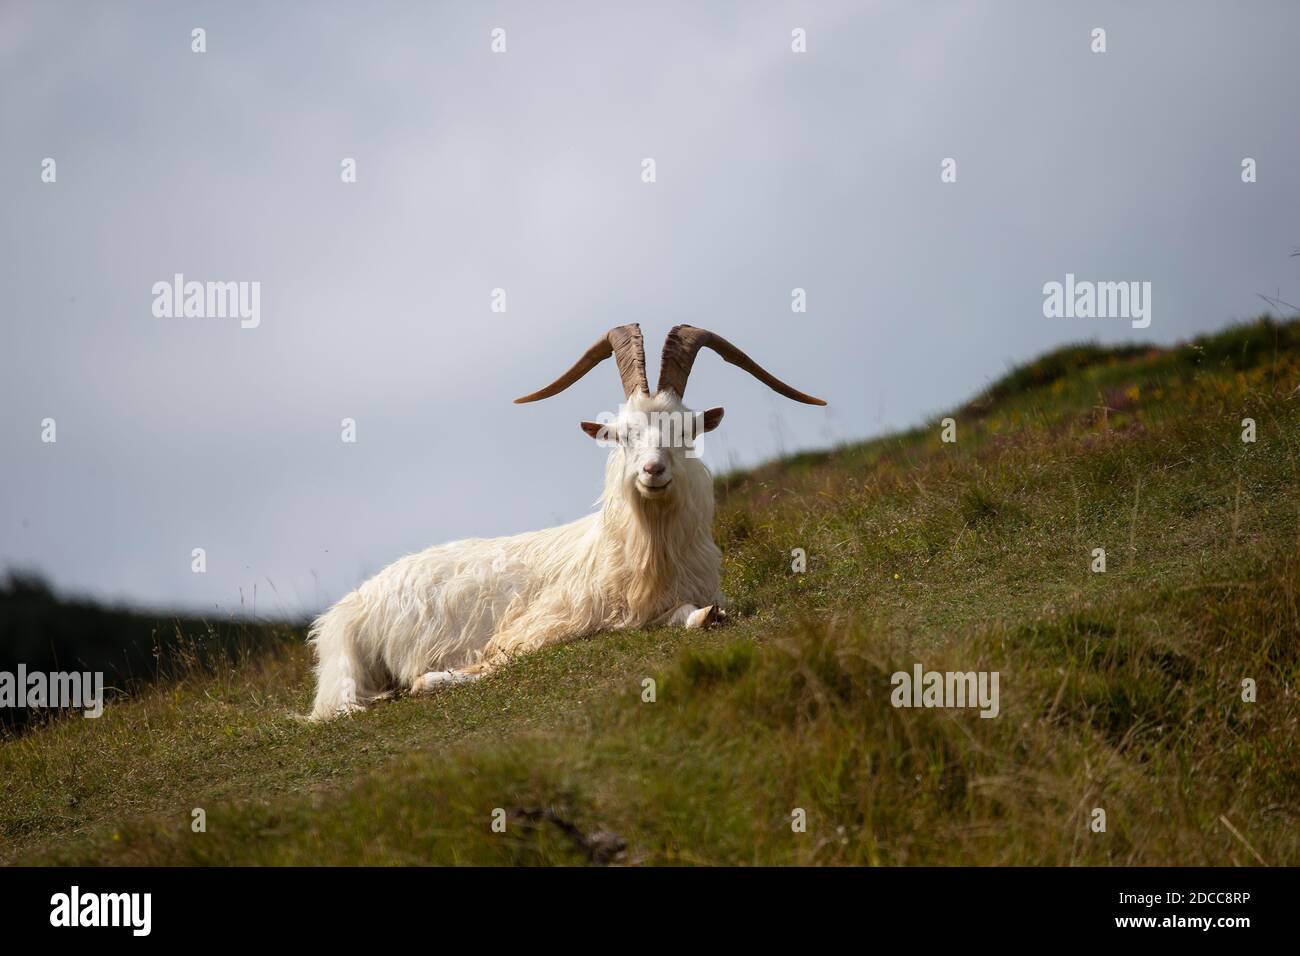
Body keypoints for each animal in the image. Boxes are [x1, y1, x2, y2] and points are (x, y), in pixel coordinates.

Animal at [308, 324, 825, 719]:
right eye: (622, 435)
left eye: (685, 431)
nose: (652, 471)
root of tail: (351, 606)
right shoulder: (547, 625)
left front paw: (708, 615)